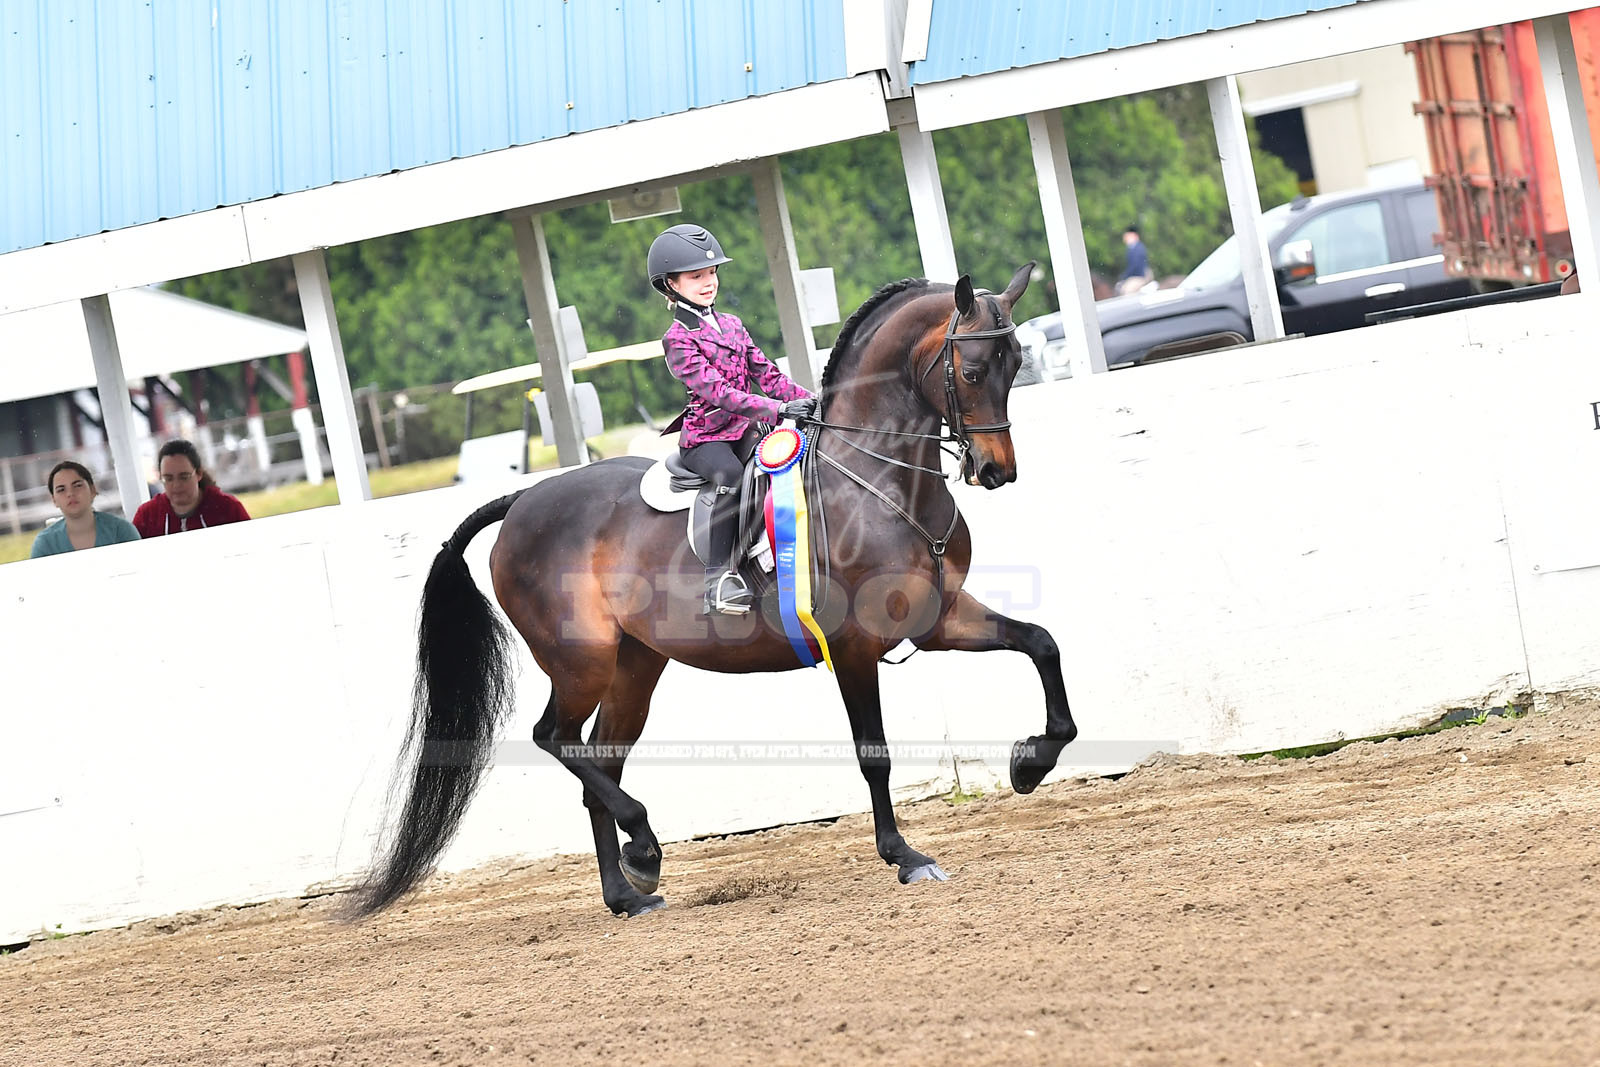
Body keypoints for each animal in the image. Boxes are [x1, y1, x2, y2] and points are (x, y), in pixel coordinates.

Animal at [351, 263, 1079, 919]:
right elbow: (874, 755)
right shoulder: (852, 646)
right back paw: (643, 845)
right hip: (581, 661)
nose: (995, 470)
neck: (878, 481)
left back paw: (628, 891)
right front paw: (906, 856)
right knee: (554, 738)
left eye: (1017, 364)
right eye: (974, 371)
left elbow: (1042, 645)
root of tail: (523, 499)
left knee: (598, 763)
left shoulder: (939, 620)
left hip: (633, 668)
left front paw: (1029, 762)